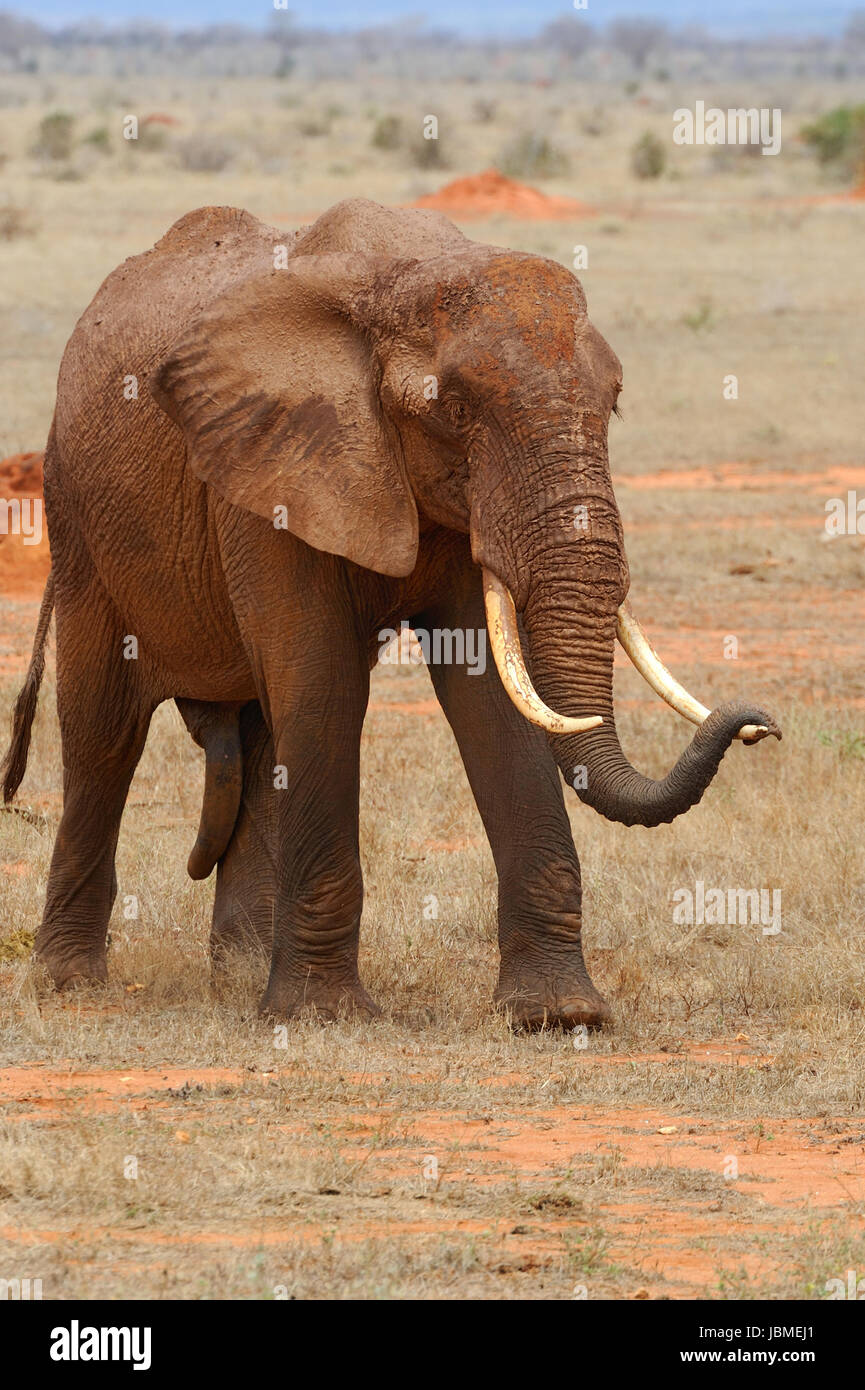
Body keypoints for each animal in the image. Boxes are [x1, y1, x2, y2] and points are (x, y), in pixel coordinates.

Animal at [1, 197, 780, 1029]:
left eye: (614, 402)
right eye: (454, 409)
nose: (758, 724)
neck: (404, 278)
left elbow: (491, 699)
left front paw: (557, 1016)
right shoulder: (272, 462)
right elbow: (324, 686)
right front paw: (322, 1017)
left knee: (260, 738)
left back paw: (239, 975)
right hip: (77, 512)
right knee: (103, 734)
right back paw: (71, 985)